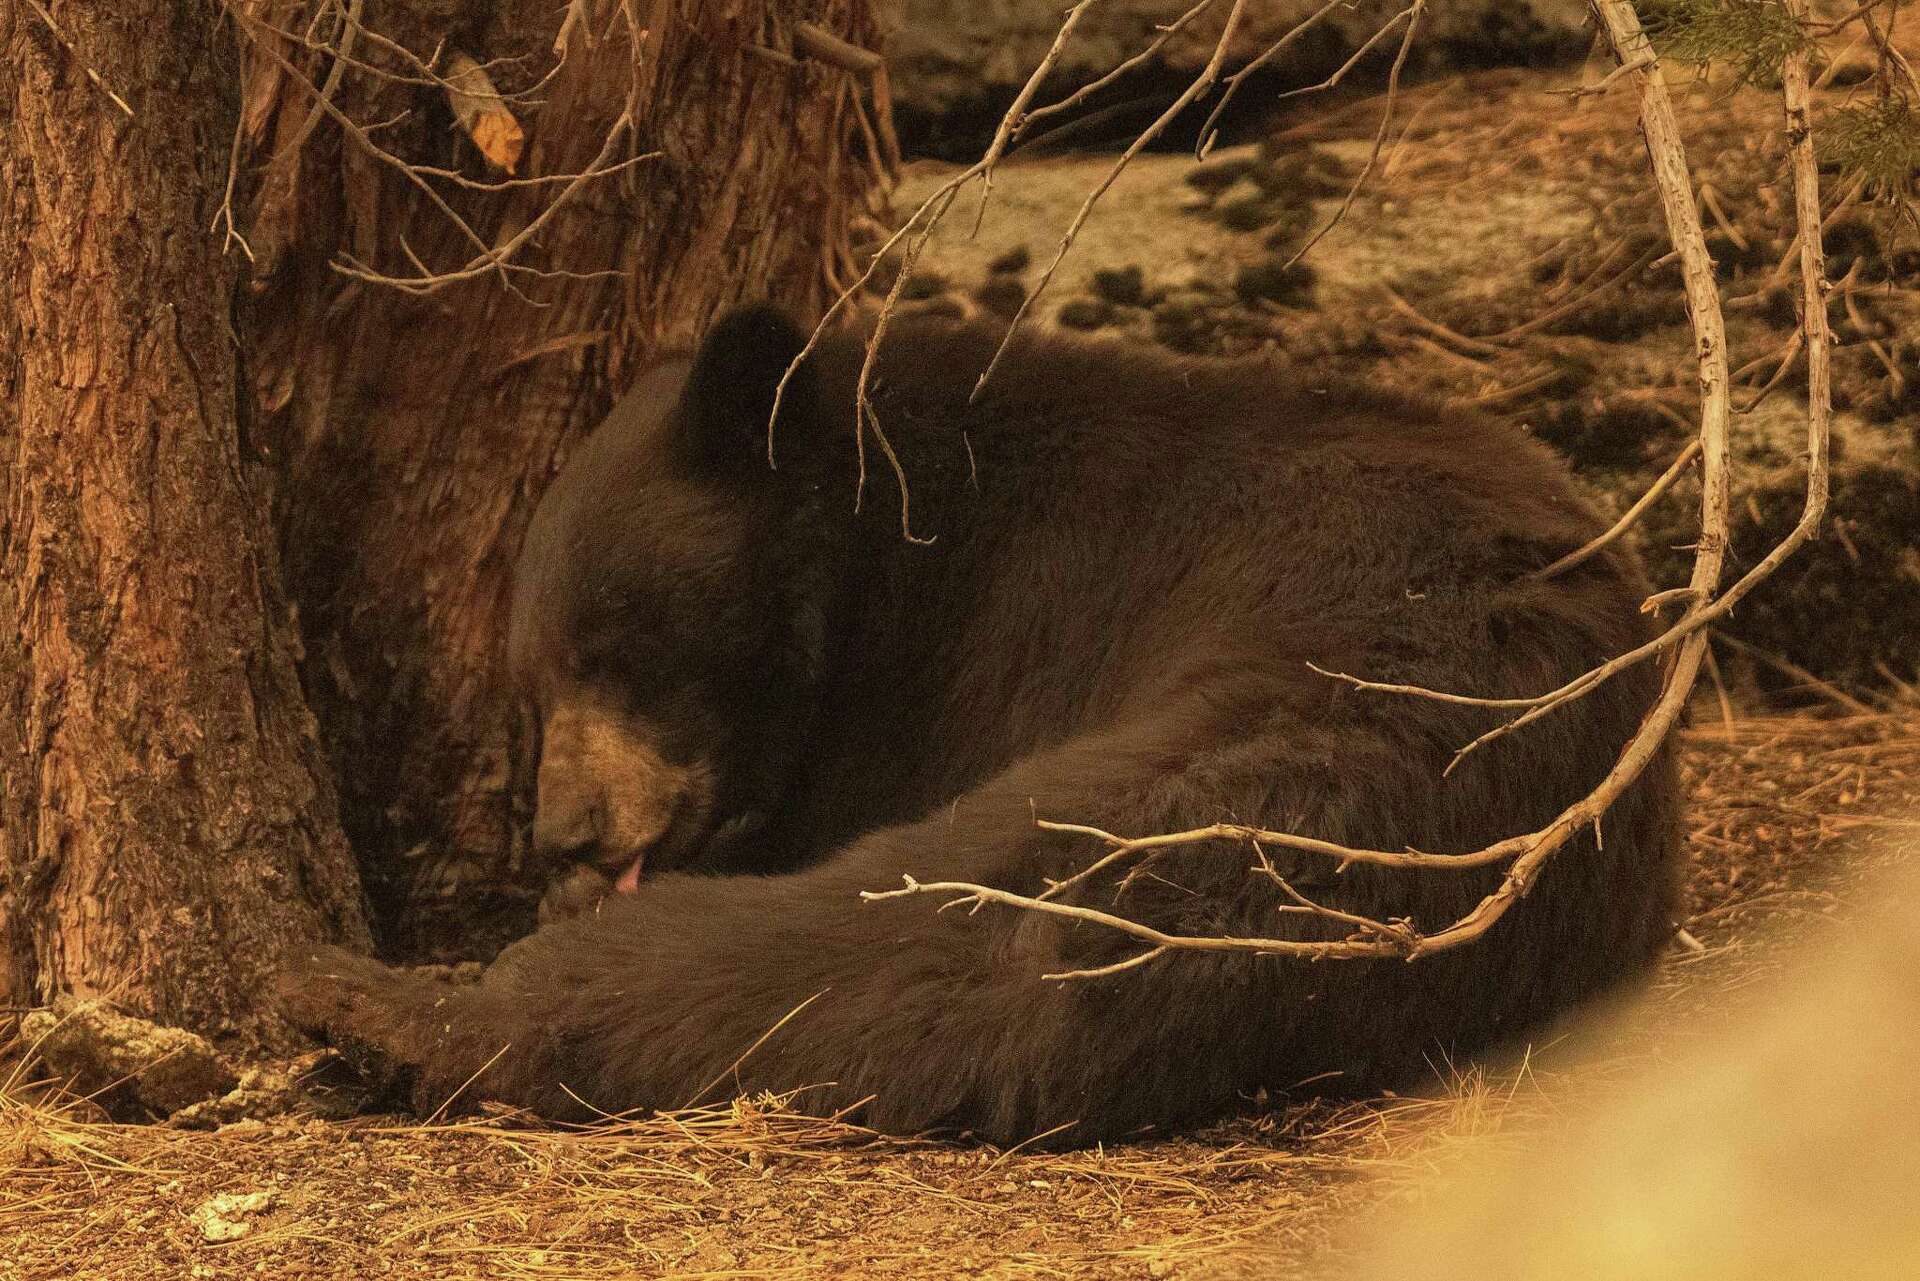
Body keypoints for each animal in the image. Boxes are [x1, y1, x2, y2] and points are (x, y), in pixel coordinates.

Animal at [281, 304, 1682, 1146]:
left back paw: (383, 1002)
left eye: (618, 652)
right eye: (532, 684)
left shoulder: (983, 652)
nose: (565, 833)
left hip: (1247, 748)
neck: (884, 561)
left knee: (924, 929)